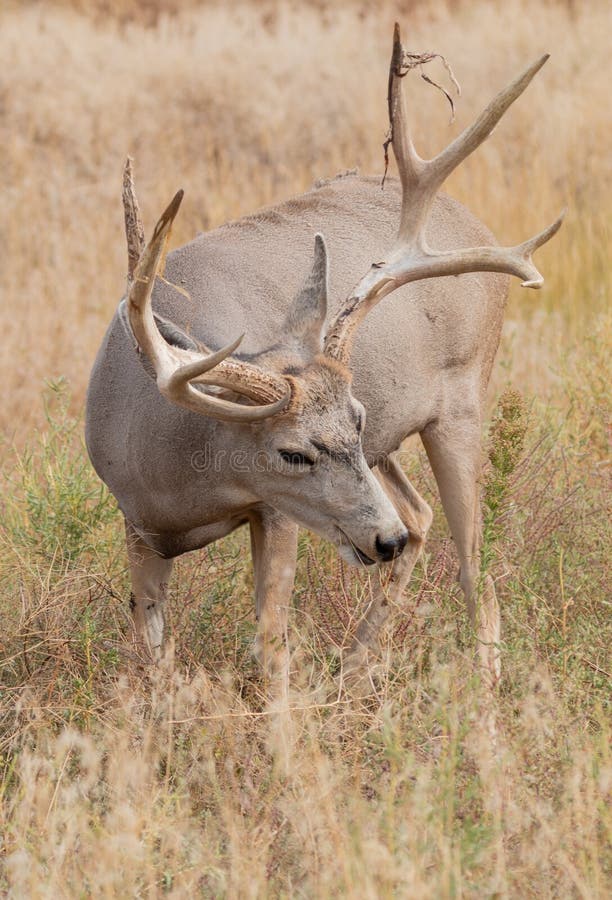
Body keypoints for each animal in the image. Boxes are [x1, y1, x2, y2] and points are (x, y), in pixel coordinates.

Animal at [85, 25, 563, 689]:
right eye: (293, 451)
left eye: (355, 422)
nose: (381, 540)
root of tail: (474, 225)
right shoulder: (138, 523)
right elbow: (152, 654)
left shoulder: (276, 511)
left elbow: (271, 641)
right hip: (395, 454)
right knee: (420, 517)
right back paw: (356, 665)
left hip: (463, 400)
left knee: (476, 568)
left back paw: (482, 695)